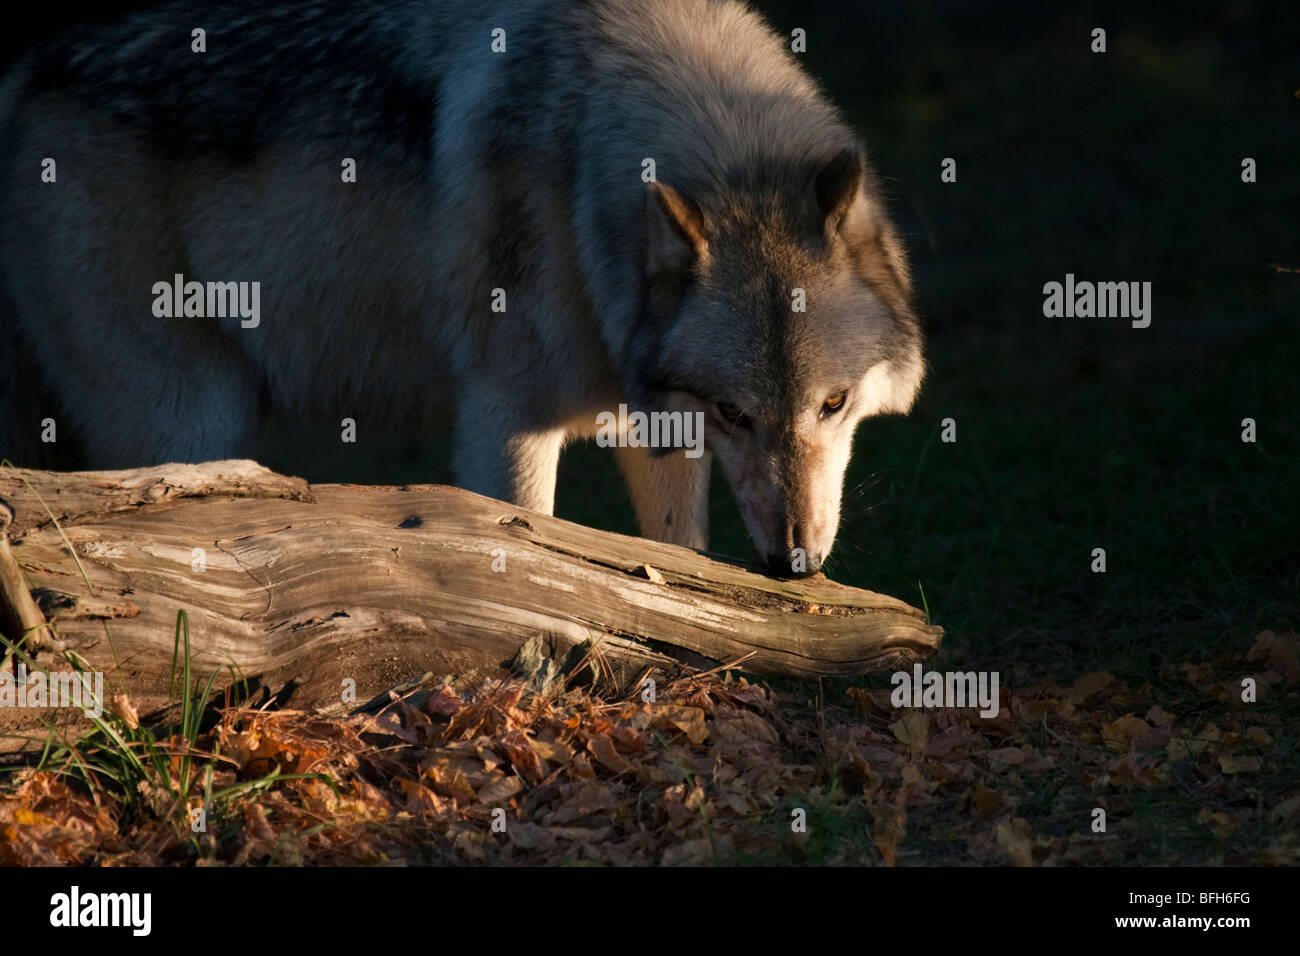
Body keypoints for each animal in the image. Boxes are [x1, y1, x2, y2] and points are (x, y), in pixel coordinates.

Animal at [0, 0, 925, 576]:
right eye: (736, 413)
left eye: (833, 404)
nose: (794, 566)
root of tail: (24, 76)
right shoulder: (505, 420)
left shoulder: (656, 424)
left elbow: (680, 558)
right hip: (192, 422)